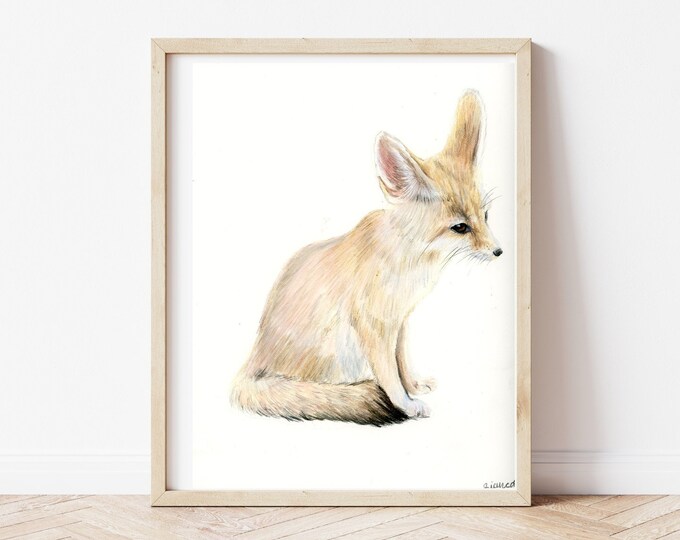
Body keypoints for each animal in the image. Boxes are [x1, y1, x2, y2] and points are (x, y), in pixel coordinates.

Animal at [231, 90, 503, 426]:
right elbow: (388, 375)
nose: (498, 251)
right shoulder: (374, 326)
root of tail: (252, 361)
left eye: (486, 216)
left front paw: (414, 385)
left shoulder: (400, 321)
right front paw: (406, 404)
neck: (411, 262)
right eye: (460, 227)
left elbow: (402, 364)